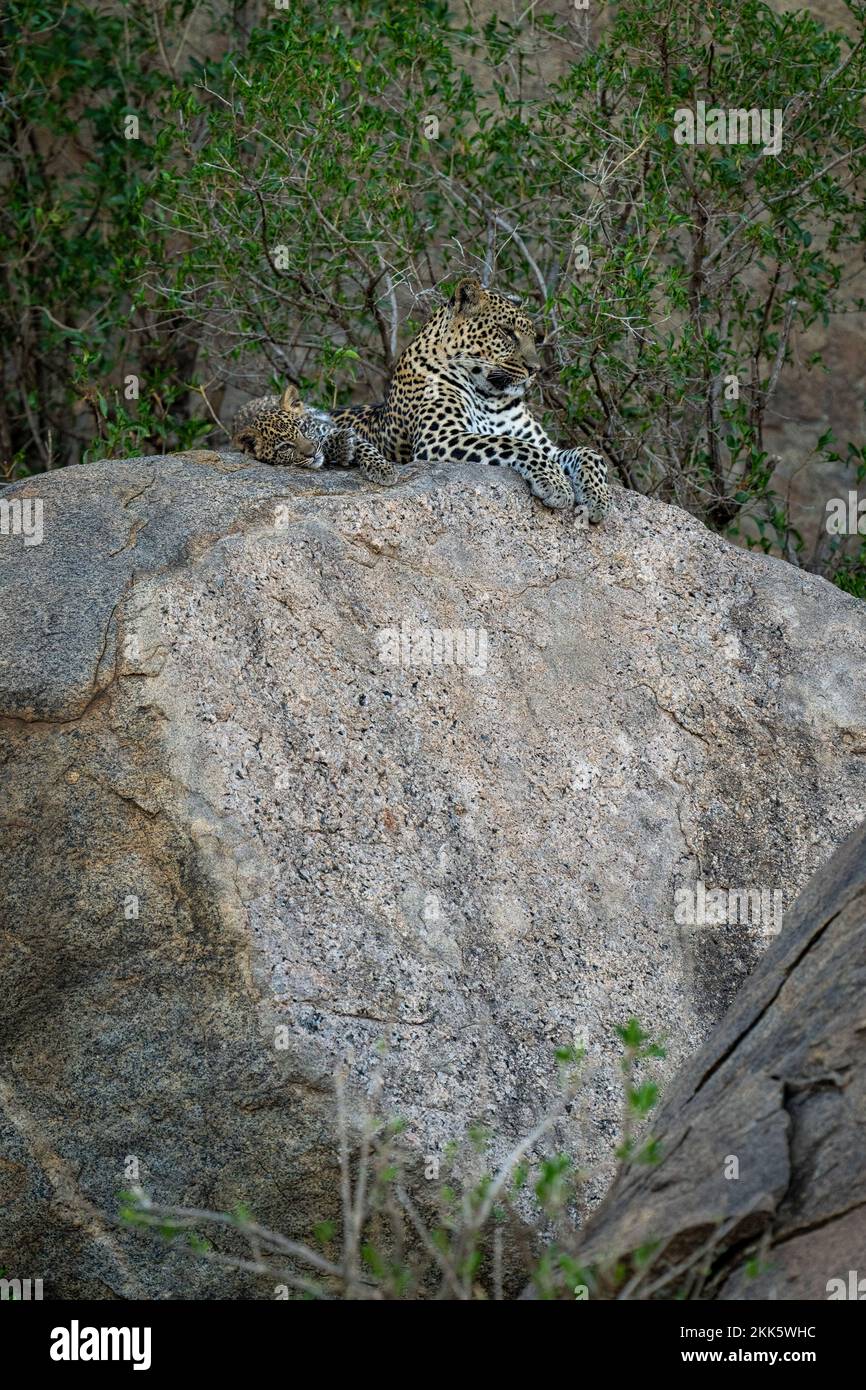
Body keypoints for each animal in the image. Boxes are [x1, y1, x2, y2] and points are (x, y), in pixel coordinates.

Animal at [231, 384, 397, 484]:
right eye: (284, 447)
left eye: (303, 428)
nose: (312, 454)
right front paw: (341, 447)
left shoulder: (331, 428)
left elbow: (365, 447)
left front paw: (382, 469)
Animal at [329, 275, 612, 520]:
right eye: (507, 332)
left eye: (533, 337)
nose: (535, 369)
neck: (492, 397)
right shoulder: (439, 438)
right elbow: (514, 444)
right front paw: (556, 484)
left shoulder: (548, 447)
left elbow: (588, 452)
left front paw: (598, 499)